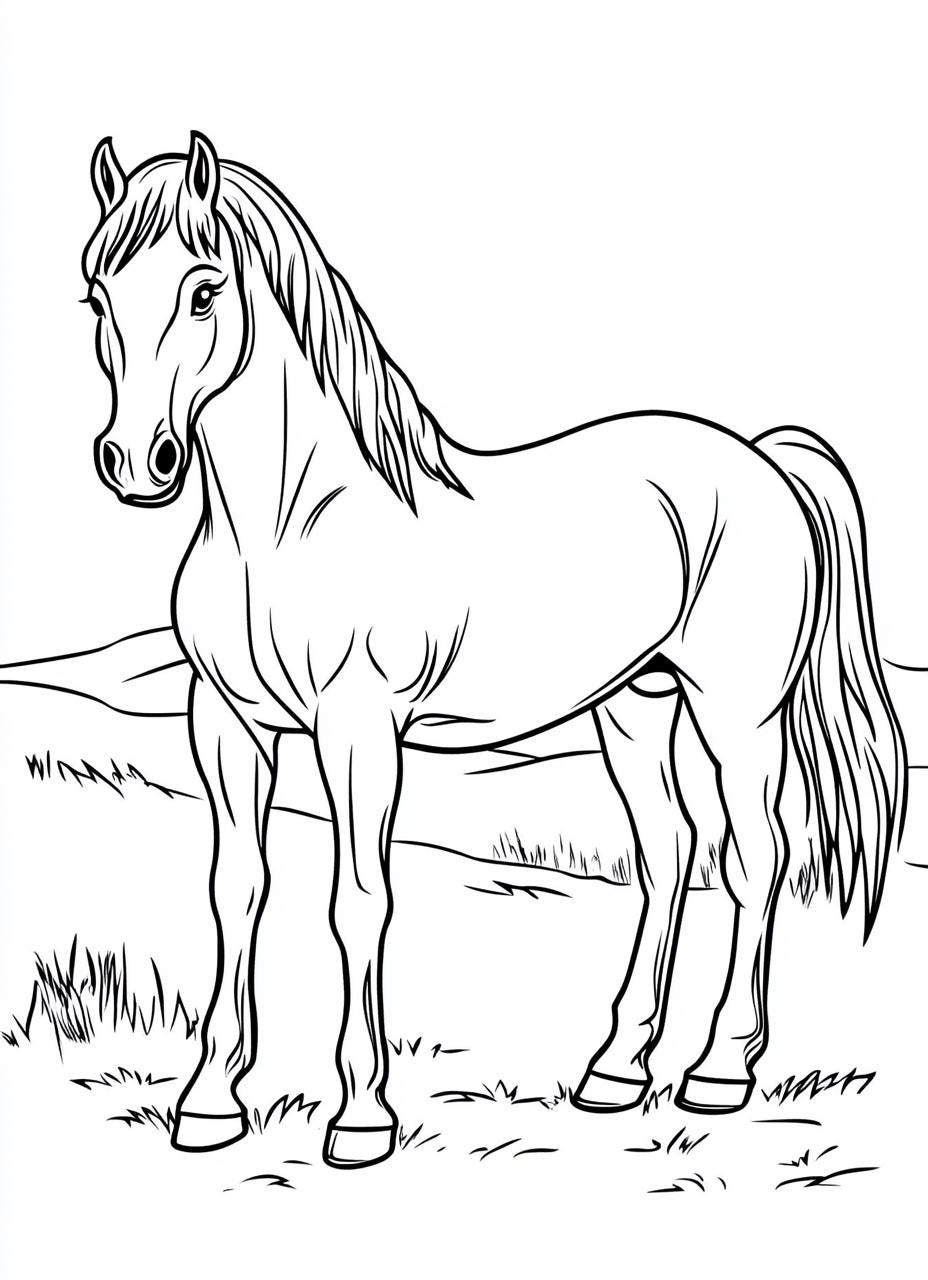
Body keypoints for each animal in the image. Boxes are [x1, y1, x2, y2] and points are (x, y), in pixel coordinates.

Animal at [82, 131, 906, 1169]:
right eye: (98, 299)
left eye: (203, 290)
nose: (133, 461)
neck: (284, 524)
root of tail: (761, 459)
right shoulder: (227, 724)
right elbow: (238, 890)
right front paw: (209, 1103)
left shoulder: (360, 731)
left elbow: (359, 900)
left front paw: (362, 1118)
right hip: (635, 709)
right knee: (671, 851)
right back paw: (616, 1073)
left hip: (738, 716)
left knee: (759, 856)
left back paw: (719, 1074)